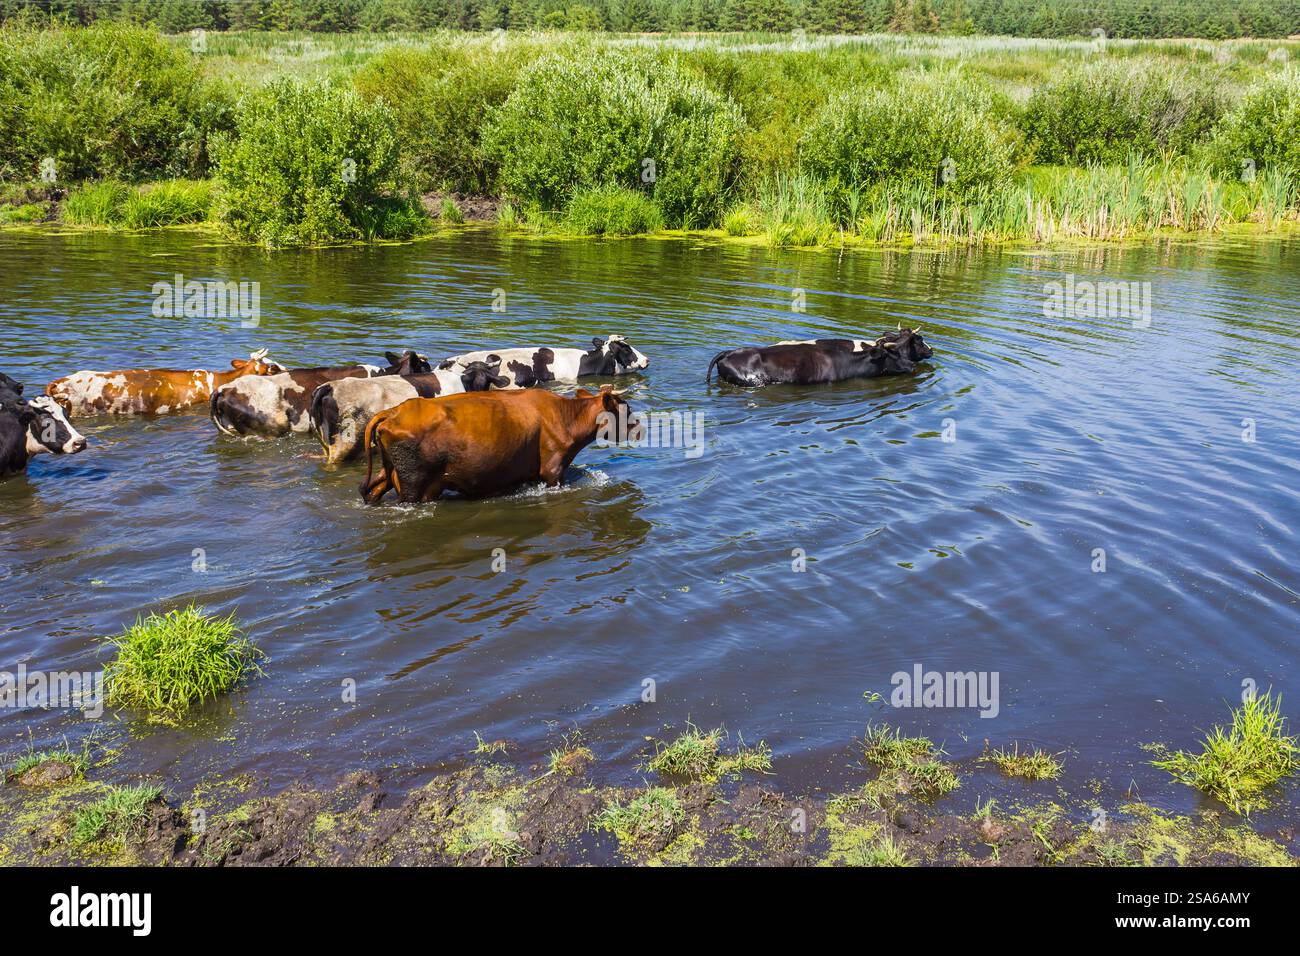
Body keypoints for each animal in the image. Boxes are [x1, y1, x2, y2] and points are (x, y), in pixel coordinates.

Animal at [360, 385, 633, 505]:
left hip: (390, 472)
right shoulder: (553, 470)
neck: (566, 416)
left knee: (372, 490)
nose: (638, 426)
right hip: (414, 486)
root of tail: (394, 411)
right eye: (626, 409)